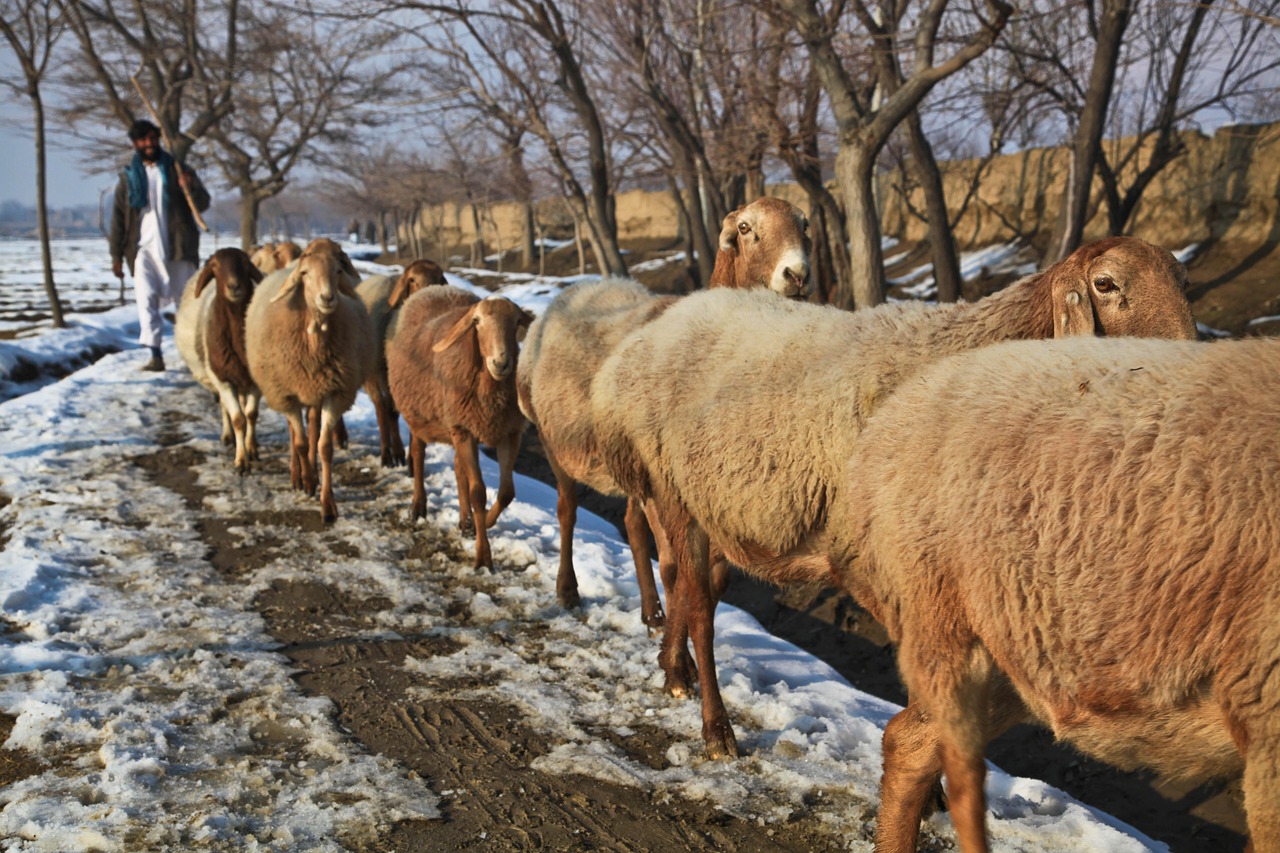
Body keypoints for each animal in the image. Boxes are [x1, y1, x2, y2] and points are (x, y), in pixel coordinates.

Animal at [174, 248, 265, 473]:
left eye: (245, 263)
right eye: (214, 267)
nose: (234, 286)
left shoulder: (254, 380)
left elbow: (251, 414)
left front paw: (251, 449)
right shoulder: (223, 378)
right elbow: (238, 419)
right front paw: (241, 461)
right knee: (226, 408)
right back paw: (227, 436)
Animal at [246, 237, 376, 522]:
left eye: (338, 270)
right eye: (305, 274)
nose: (327, 297)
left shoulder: (335, 393)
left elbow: (323, 446)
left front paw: (328, 505)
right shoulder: (287, 393)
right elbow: (300, 441)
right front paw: (306, 481)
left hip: (316, 391)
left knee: (313, 426)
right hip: (285, 392)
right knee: (295, 432)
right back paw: (299, 475)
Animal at [357, 259, 449, 467]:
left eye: (439, 277)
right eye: (412, 280)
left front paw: (408, 457)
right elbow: (389, 412)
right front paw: (396, 453)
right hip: (373, 375)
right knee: (381, 408)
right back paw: (387, 453)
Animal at [386, 286, 532, 569]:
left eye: (517, 322)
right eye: (477, 322)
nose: (501, 363)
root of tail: (437, 288)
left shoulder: (509, 433)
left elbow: (506, 493)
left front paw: (482, 522)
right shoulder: (464, 429)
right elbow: (478, 493)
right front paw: (483, 557)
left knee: (458, 469)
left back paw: (465, 521)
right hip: (419, 417)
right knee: (418, 454)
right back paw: (418, 506)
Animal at [590, 236, 1197, 758]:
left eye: (1182, 280)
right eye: (1104, 284)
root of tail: (645, 340)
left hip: (717, 506)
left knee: (691, 587)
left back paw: (675, 671)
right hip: (677, 494)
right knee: (696, 602)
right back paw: (715, 728)